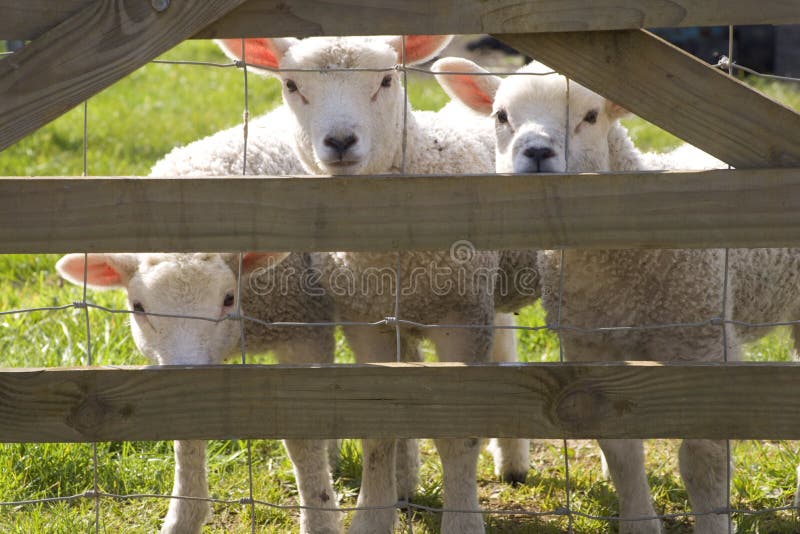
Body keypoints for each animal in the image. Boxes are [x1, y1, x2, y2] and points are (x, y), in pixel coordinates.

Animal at [56, 252, 341, 534]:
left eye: (229, 299)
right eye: (138, 307)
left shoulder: (306, 327)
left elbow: (303, 440)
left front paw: (320, 522)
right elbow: (188, 440)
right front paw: (183, 520)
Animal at [214, 34, 534, 534]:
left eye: (386, 80)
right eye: (291, 85)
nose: (341, 141)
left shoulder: (460, 319)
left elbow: (458, 436)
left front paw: (463, 519)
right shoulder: (368, 324)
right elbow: (379, 430)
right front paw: (372, 515)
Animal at [434, 57, 800, 534]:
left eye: (591, 117)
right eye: (501, 116)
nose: (537, 152)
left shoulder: (700, 344)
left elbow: (703, 460)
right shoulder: (592, 349)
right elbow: (620, 446)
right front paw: (640, 522)